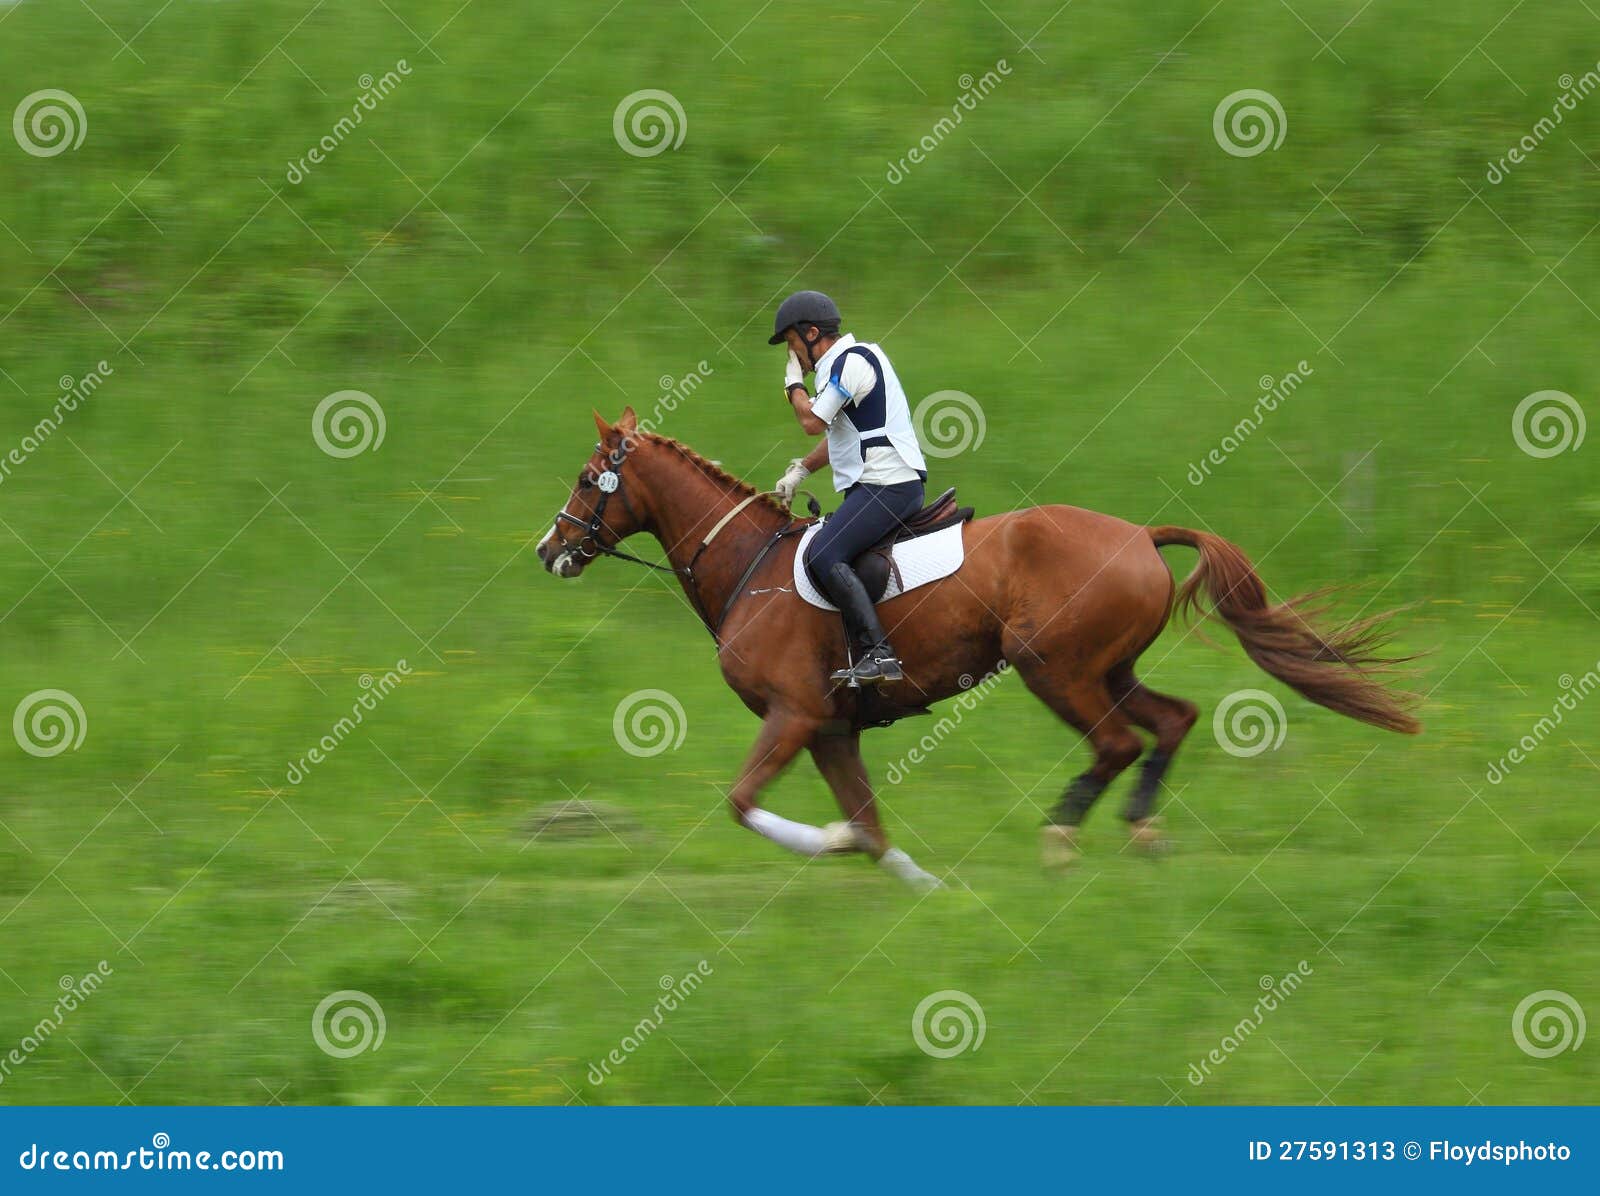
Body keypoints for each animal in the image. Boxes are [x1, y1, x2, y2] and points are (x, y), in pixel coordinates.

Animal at [537, 407, 1420, 888]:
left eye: (585, 478)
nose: (549, 551)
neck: (750, 567)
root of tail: (1139, 533)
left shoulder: (794, 717)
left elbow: (748, 803)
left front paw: (829, 843)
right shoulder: (831, 730)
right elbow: (874, 829)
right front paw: (927, 890)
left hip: (1053, 668)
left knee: (1116, 743)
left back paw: (1062, 841)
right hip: (1109, 667)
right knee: (1170, 722)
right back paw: (1142, 832)